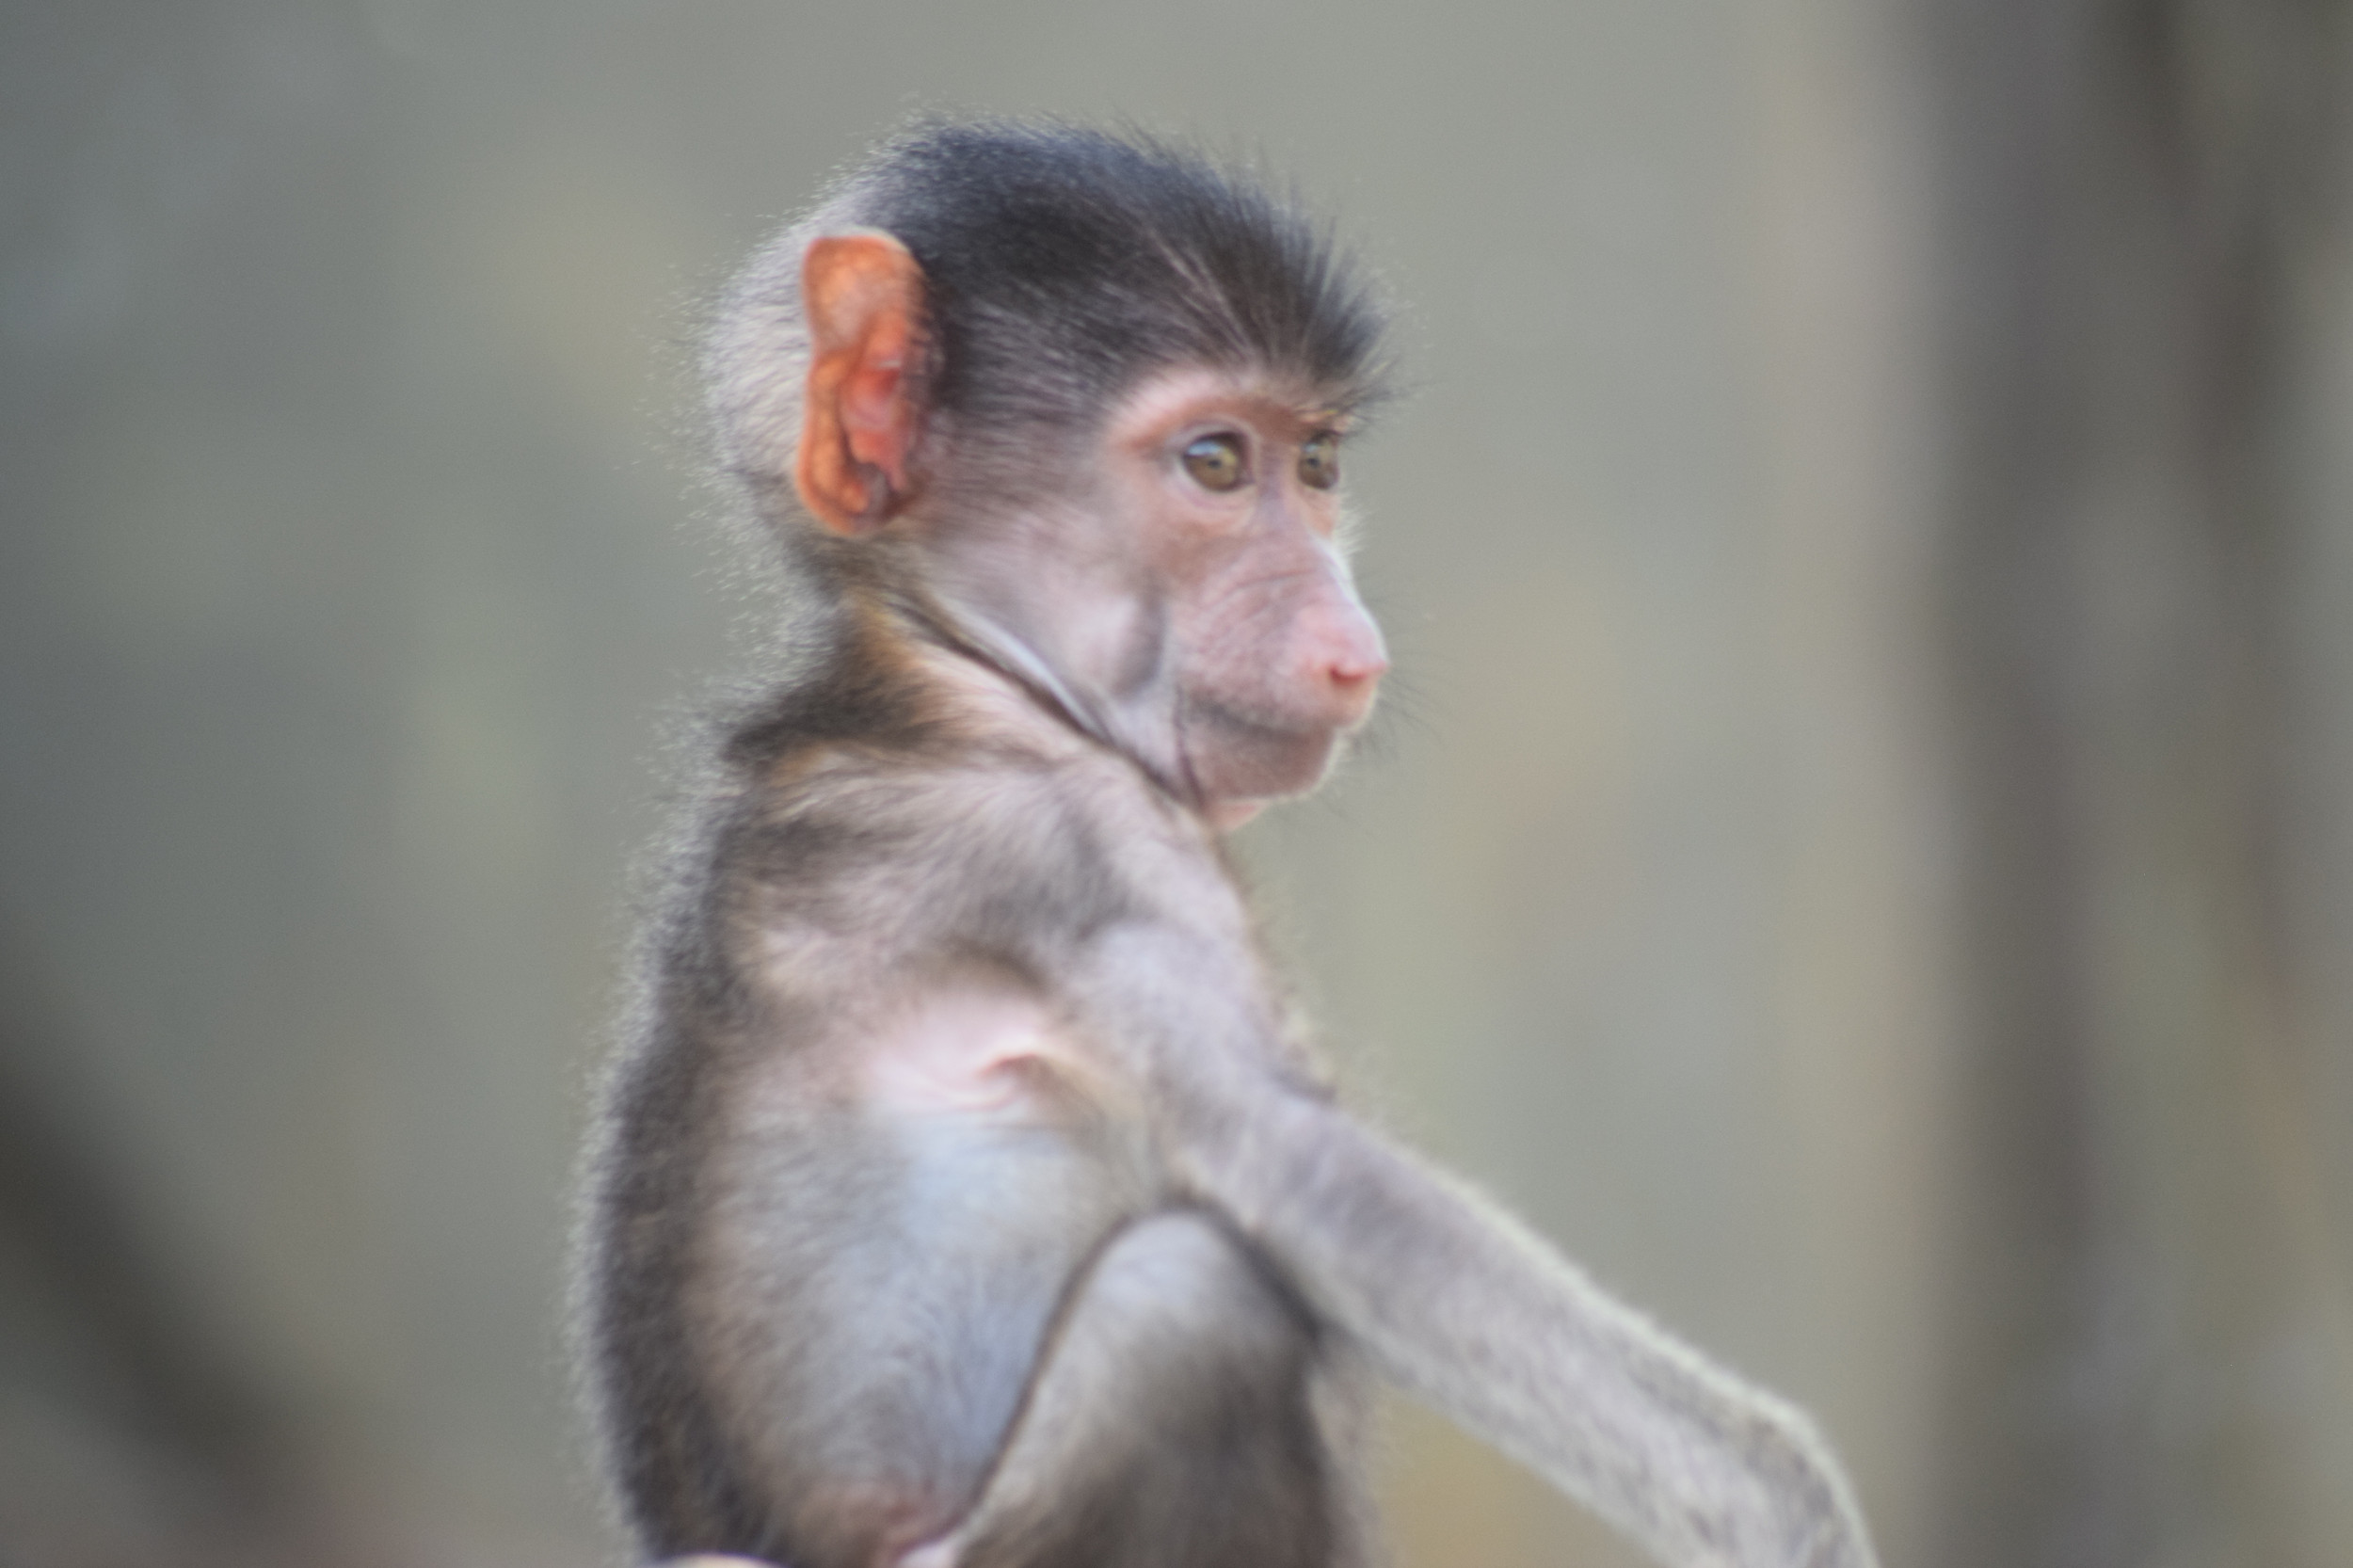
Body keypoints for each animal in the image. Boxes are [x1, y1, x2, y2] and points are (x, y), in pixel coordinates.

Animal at [576, 120, 1880, 1568]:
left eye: (1314, 465)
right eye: (1213, 463)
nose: (1352, 644)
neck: (960, 675)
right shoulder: (1088, 855)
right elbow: (1313, 1181)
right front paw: (1790, 1515)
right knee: (1199, 1304)